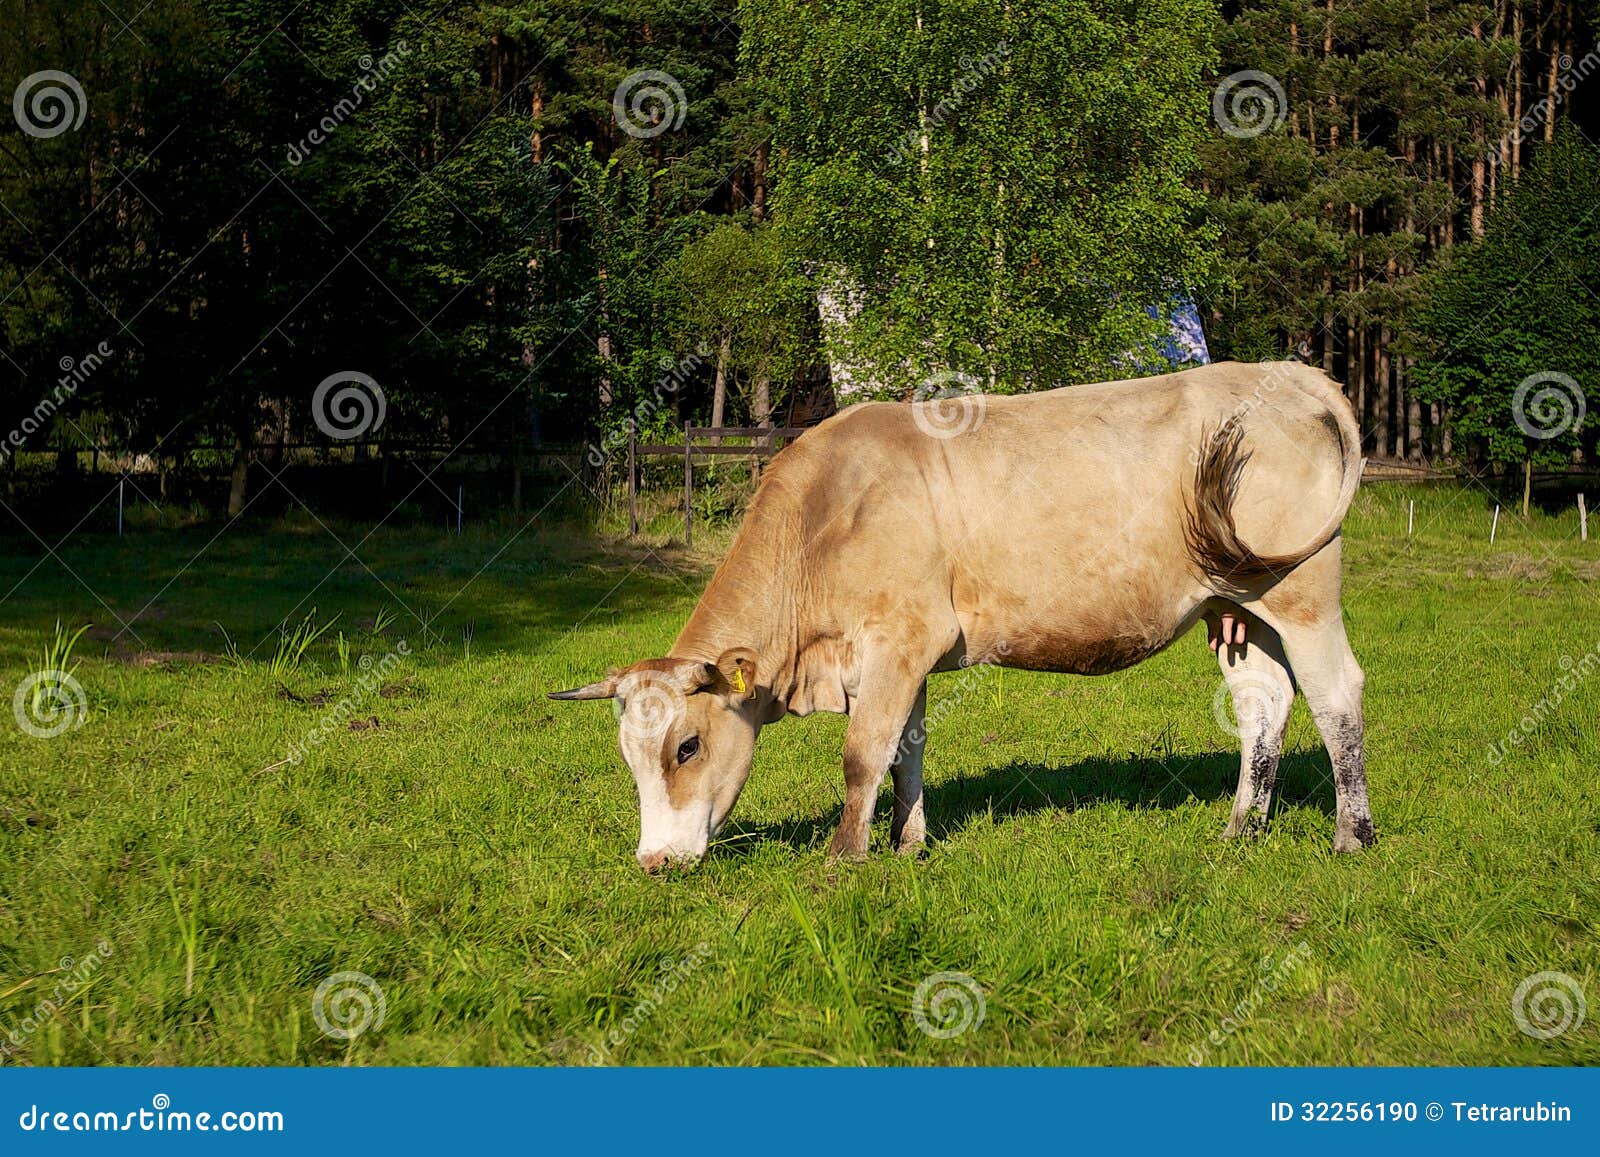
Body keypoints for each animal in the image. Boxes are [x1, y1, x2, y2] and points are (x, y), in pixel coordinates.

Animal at [551, 361, 1372, 871]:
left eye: (686, 746)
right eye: (627, 756)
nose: (654, 862)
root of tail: (1286, 373)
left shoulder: (899, 637)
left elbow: (862, 753)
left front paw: (843, 855)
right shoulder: (904, 655)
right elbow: (905, 751)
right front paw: (908, 844)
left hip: (1301, 591)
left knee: (1336, 696)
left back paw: (1351, 836)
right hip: (1236, 604)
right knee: (1262, 703)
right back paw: (1240, 829)